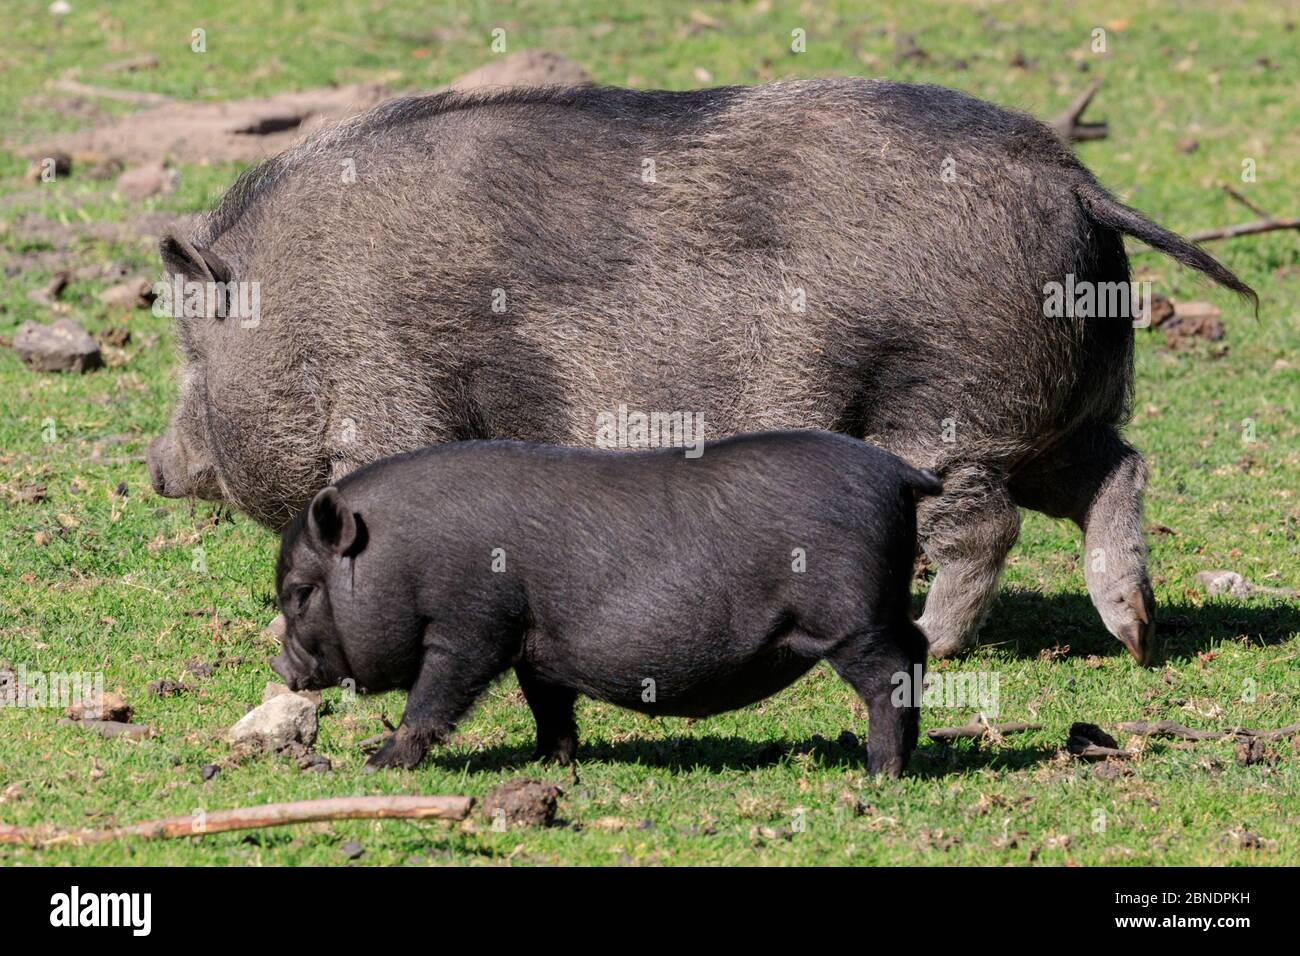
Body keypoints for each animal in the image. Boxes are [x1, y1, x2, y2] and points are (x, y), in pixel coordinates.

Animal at [149, 79, 1256, 665]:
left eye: (193, 355)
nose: (156, 467)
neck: (310, 313)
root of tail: (1072, 177)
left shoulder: (393, 412)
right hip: (1051, 416)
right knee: (1120, 469)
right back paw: (1135, 633)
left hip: (945, 410)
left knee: (985, 525)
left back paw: (932, 641)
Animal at [269, 430, 942, 776]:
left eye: (302, 591)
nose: (280, 666)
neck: (401, 560)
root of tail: (901, 474)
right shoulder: (532, 643)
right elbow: (548, 705)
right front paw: (548, 765)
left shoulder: (471, 628)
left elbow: (432, 700)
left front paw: (376, 763)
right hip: (880, 611)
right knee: (919, 648)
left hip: (850, 619)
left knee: (890, 673)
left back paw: (879, 772)